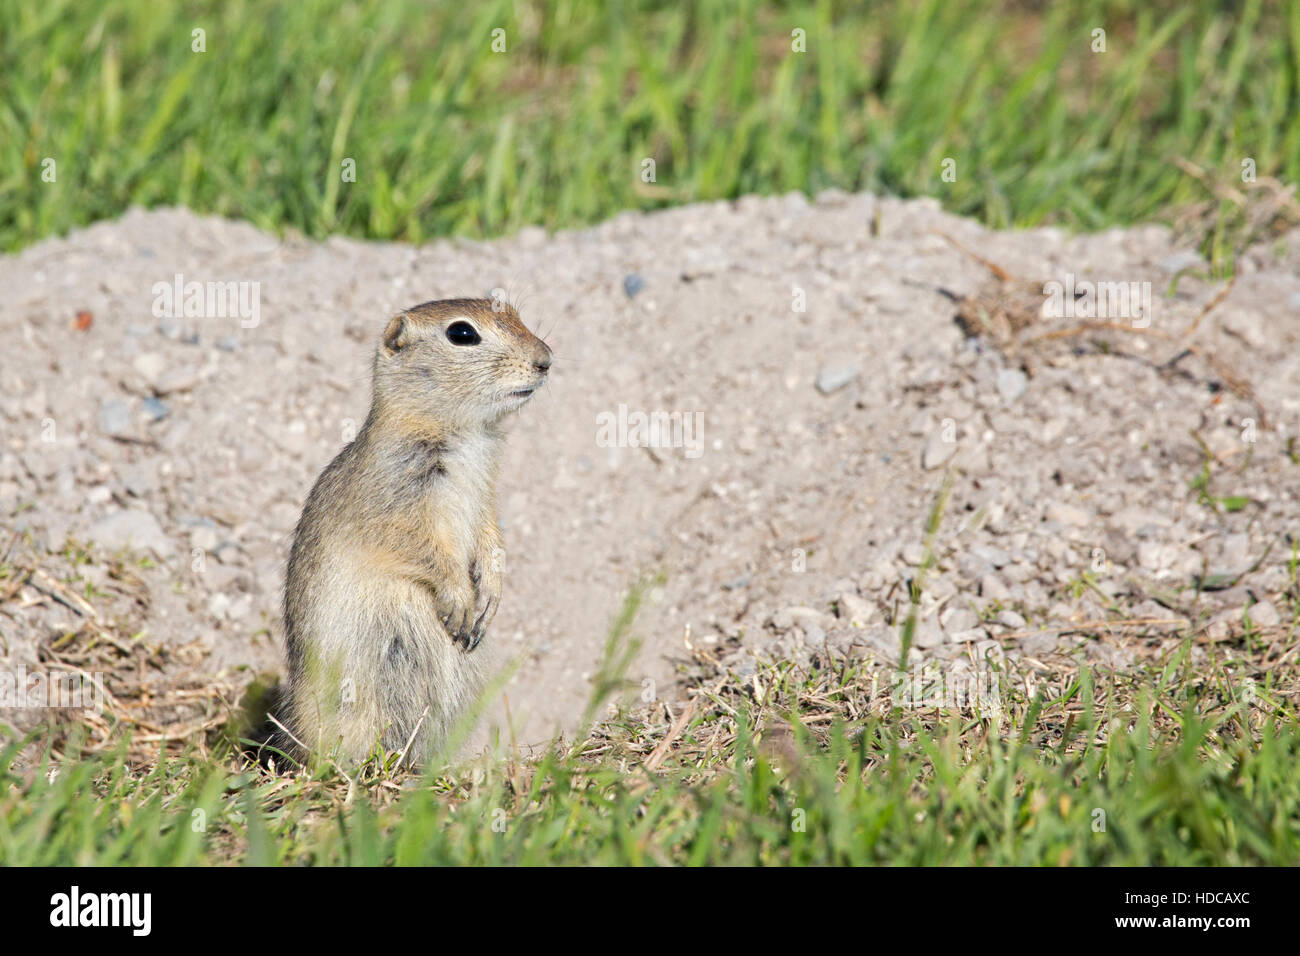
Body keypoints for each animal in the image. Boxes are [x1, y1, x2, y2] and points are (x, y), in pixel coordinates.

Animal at [278, 298, 551, 767]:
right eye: (462, 333)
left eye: (515, 313)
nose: (546, 359)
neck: (464, 435)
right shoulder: (399, 503)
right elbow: (425, 549)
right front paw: (461, 603)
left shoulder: (485, 500)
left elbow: (491, 540)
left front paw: (488, 601)